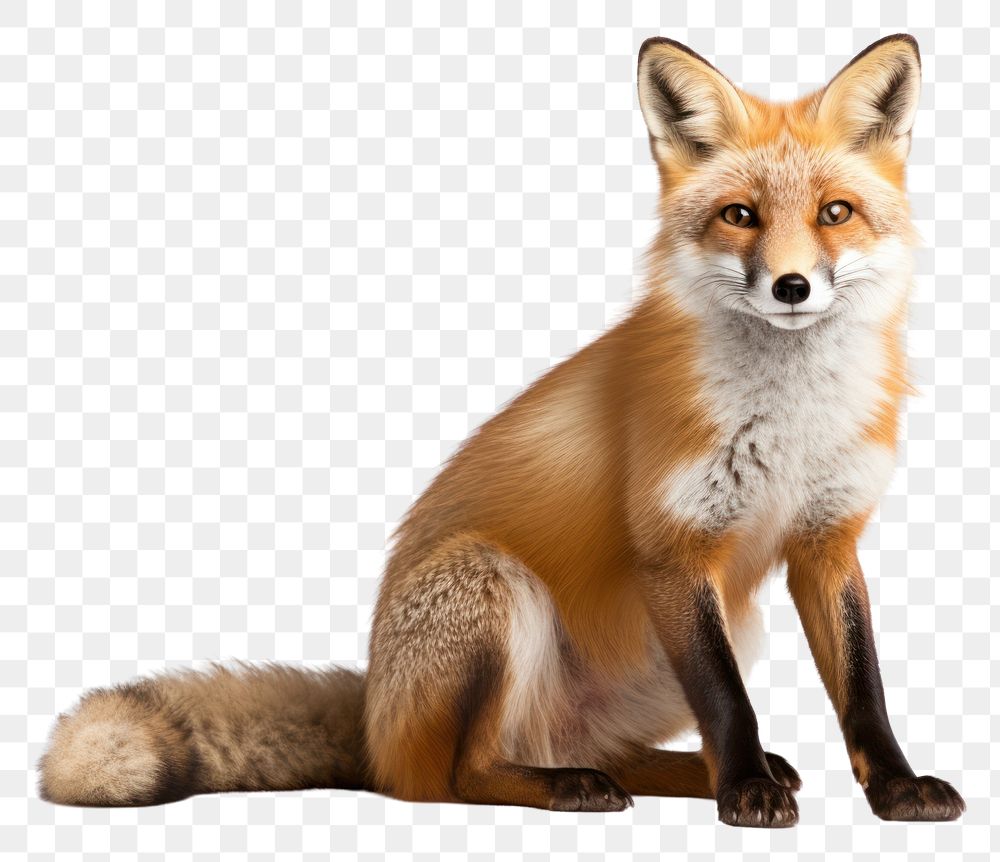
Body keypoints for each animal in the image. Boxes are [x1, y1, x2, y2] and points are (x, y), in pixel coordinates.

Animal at [37, 34, 966, 828]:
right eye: (739, 216)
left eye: (835, 212)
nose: (792, 287)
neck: (790, 423)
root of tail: (375, 721)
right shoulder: (674, 549)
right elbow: (727, 702)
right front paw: (747, 791)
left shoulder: (827, 541)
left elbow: (864, 690)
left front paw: (894, 786)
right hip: (494, 587)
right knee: (457, 774)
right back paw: (578, 786)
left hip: (721, 631)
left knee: (608, 752)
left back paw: (678, 773)